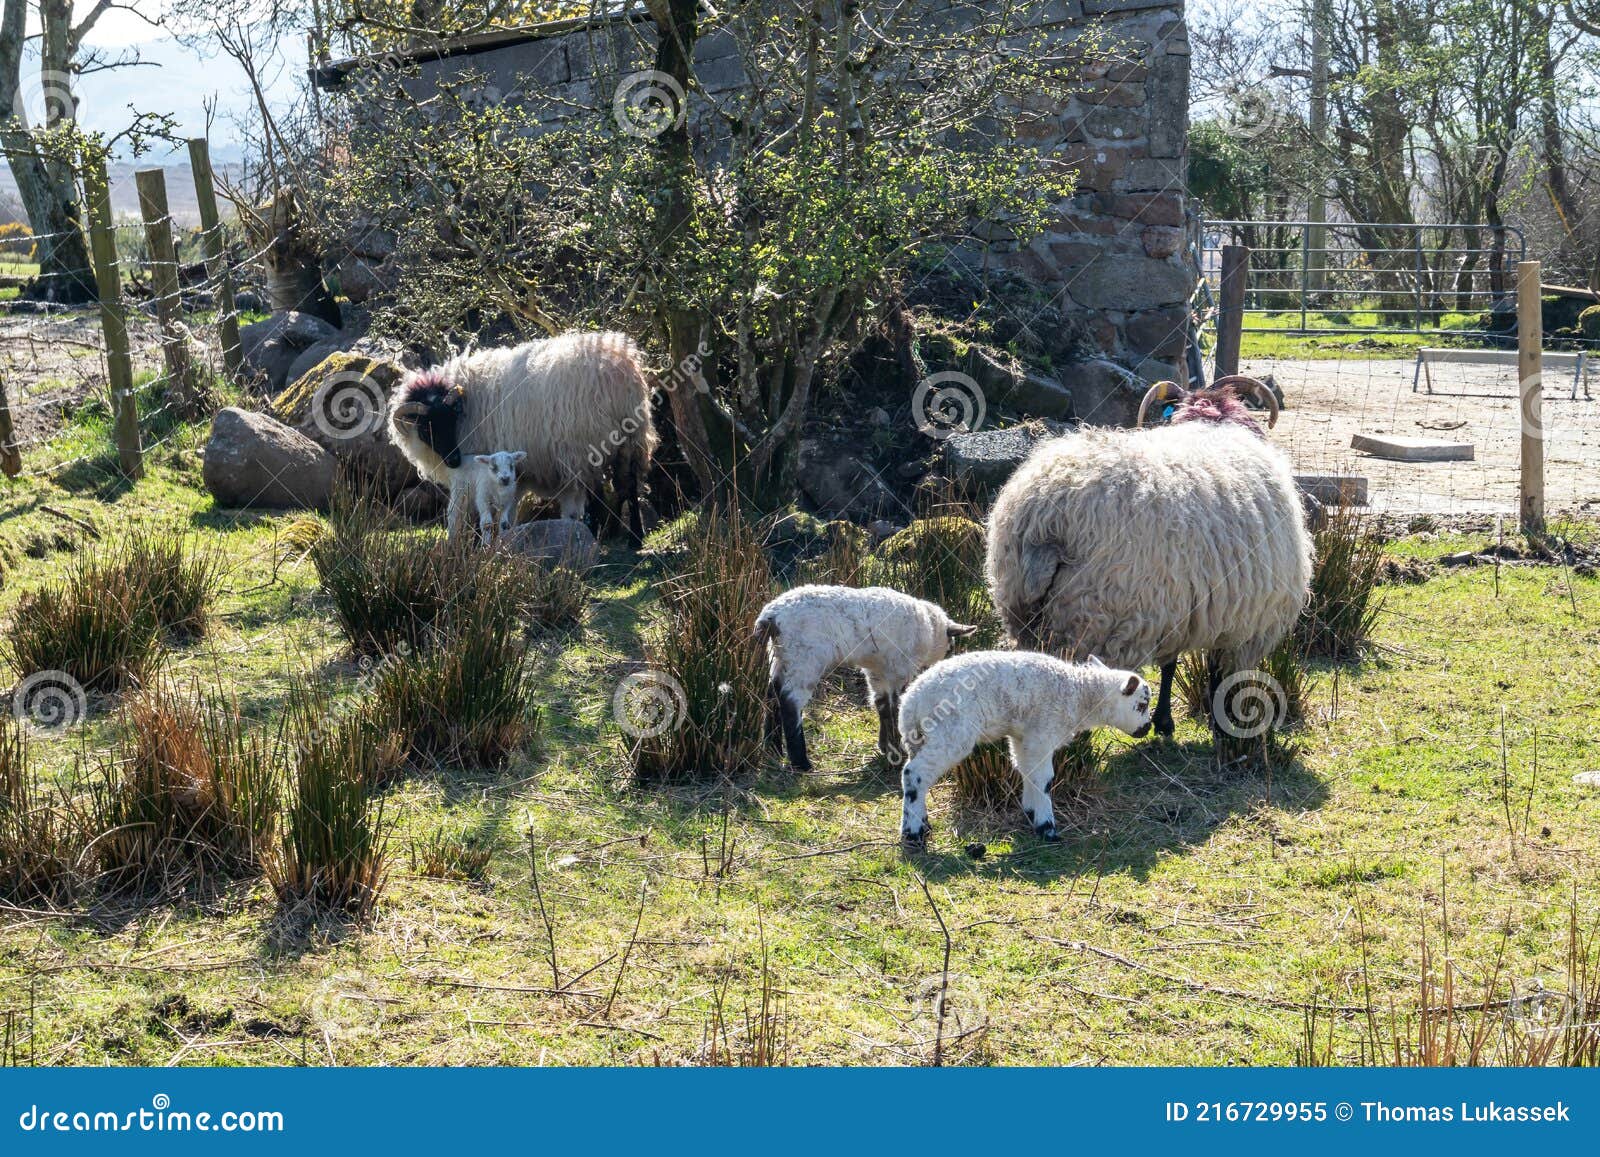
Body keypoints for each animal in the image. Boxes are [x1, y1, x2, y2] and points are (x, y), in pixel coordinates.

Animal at [386, 332, 657, 542]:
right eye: (426, 428)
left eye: (451, 420)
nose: (453, 460)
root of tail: (618, 366)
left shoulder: (474, 471)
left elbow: (474, 512)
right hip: (631, 437)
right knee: (627, 484)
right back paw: (631, 535)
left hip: (586, 443)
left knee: (599, 492)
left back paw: (598, 532)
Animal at [752, 584, 977, 772]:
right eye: (950, 645)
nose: (943, 662)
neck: (929, 627)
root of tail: (771, 616)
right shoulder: (899, 669)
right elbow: (896, 706)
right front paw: (895, 748)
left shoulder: (877, 671)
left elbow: (882, 705)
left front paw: (885, 746)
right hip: (803, 659)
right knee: (789, 702)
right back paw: (801, 763)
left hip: (780, 656)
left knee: (771, 694)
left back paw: (772, 748)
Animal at [897, 652, 1152, 848]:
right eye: (1141, 705)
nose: (1147, 728)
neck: (1079, 695)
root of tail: (911, 702)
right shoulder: (1043, 734)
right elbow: (1044, 779)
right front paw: (1047, 828)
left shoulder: (1024, 737)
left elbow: (1026, 770)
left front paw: (1030, 812)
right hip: (951, 731)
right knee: (915, 773)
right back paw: (914, 834)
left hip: (918, 739)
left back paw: (920, 823)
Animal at [985, 375, 1312, 738]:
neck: (1211, 422)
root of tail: (1046, 515)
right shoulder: (1241, 618)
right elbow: (1217, 671)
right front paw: (1219, 725)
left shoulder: (1178, 606)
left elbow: (1170, 665)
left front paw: (1165, 721)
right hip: (1089, 616)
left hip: (1018, 604)